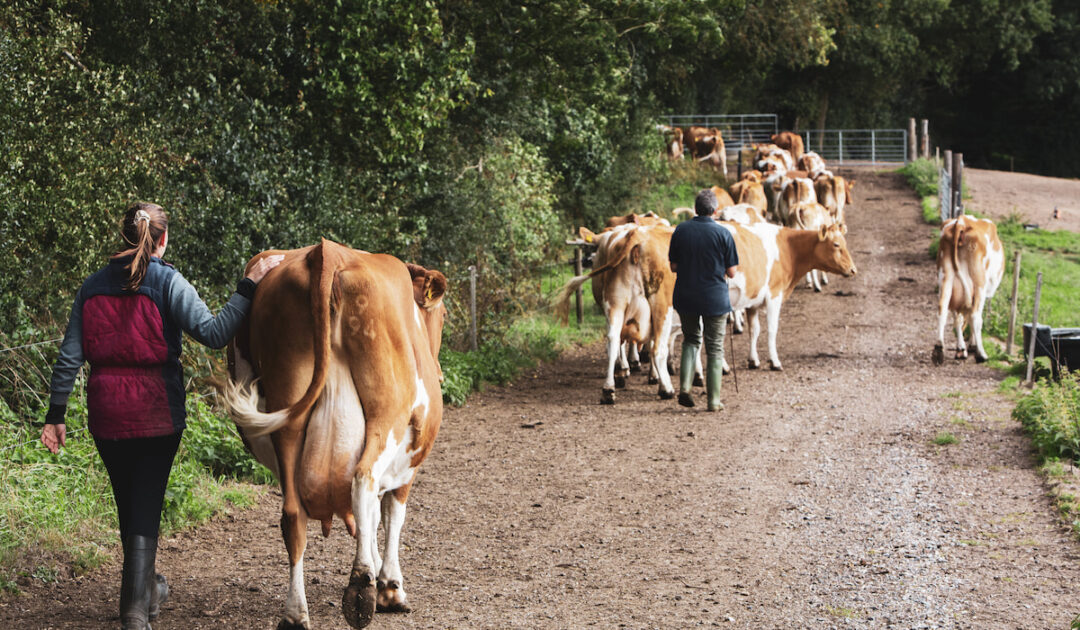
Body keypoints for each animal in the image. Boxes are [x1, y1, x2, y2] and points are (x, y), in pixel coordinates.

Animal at [218, 239, 448, 630]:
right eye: (443, 316)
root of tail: (327, 252)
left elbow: (371, 516)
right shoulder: (408, 464)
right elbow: (391, 515)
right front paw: (390, 586)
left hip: (287, 417)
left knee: (293, 516)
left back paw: (295, 614)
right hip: (386, 414)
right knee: (363, 479)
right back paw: (361, 589)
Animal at [557, 224, 677, 404]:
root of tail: (636, 233)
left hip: (615, 303)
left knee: (613, 339)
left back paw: (609, 388)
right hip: (661, 306)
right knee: (657, 349)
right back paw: (666, 389)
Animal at [720, 222, 857, 370]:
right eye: (836, 244)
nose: (853, 269)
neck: (789, 248)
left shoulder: (753, 299)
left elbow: (754, 330)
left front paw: (753, 360)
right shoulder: (774, 294)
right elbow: (772, 329)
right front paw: (774, 362)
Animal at [932, 215, 1005, 364]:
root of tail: (961, 221)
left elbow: (957, 319)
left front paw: (961, 349)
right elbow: (970, 318)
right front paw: (972, 345)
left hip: (946, 277)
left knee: (942, 309)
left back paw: (939, 348)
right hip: (979, 283)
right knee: (975, 316)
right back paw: (981, 354)